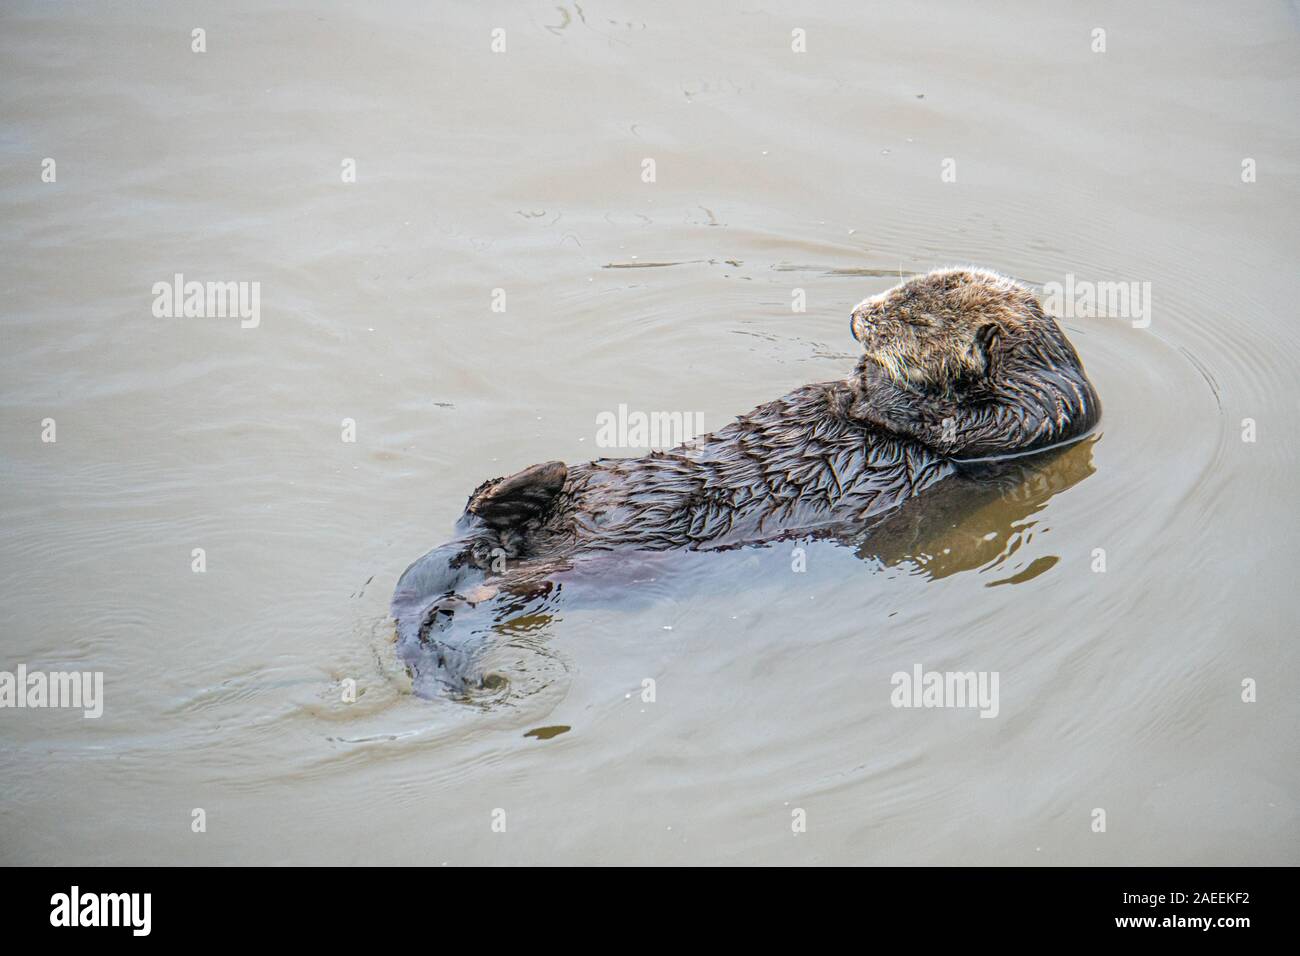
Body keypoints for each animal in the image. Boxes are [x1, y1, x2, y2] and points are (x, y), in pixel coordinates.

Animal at [392, 268, 1101, 693]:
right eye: (901, 289)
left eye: (917, 321)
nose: (855, 318)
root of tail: (509, 554)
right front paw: (858, 377)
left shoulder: (1043, 412)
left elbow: (961, 424)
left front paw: (872, 386)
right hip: (574, 494)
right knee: (484, 506)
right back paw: (536, 476)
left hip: (593, 569)